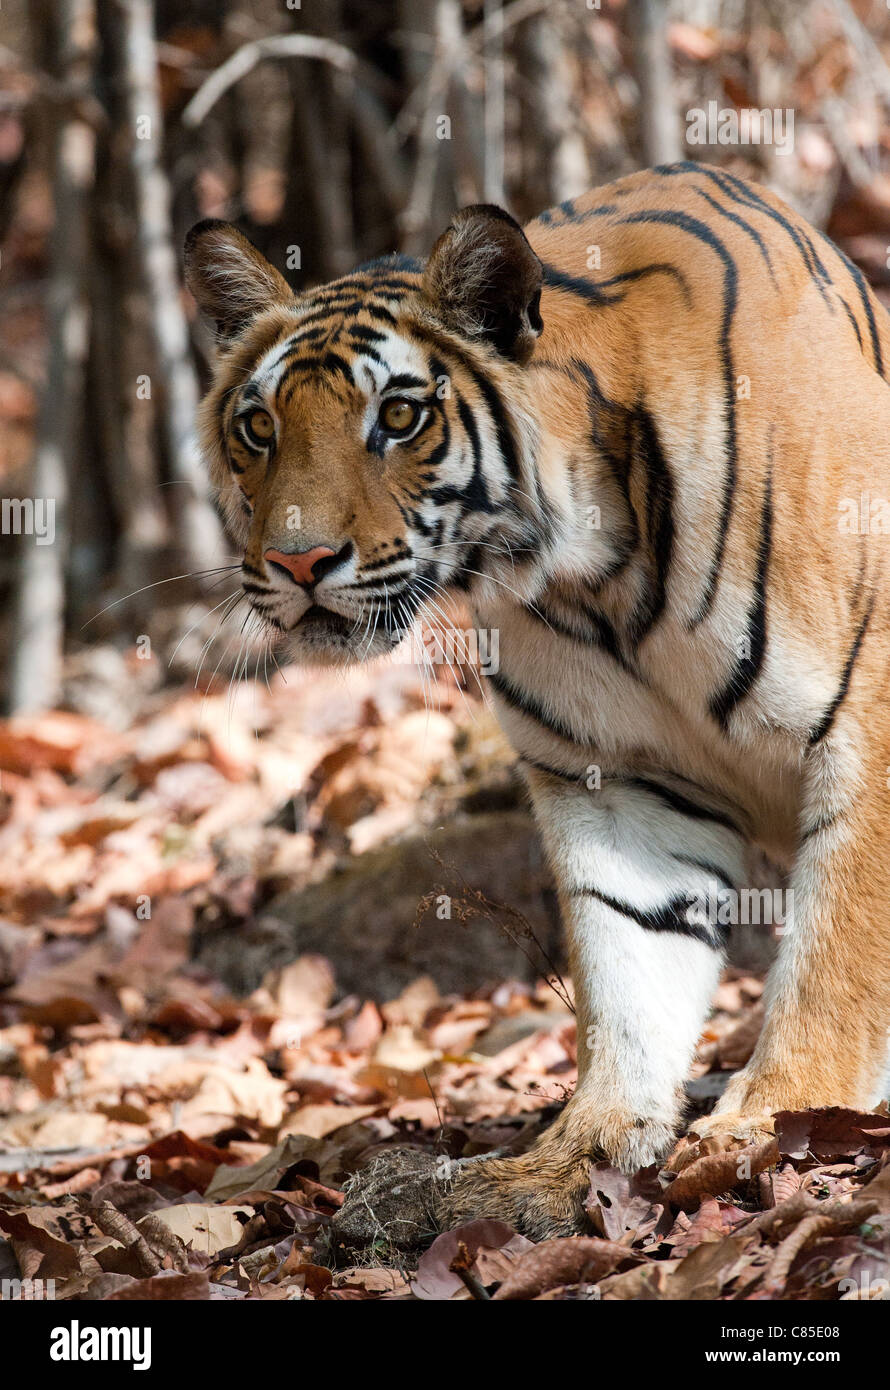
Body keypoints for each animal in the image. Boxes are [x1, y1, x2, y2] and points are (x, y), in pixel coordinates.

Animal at [185, 161, 890, 1240]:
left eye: (398, 417)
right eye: (259, 427)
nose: (298, 562)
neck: (588, 572)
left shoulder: (867, 727)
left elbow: (834, 960)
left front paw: (775, 1116)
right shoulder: (621, 782)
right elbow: (630, 970)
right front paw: (572, 1157)